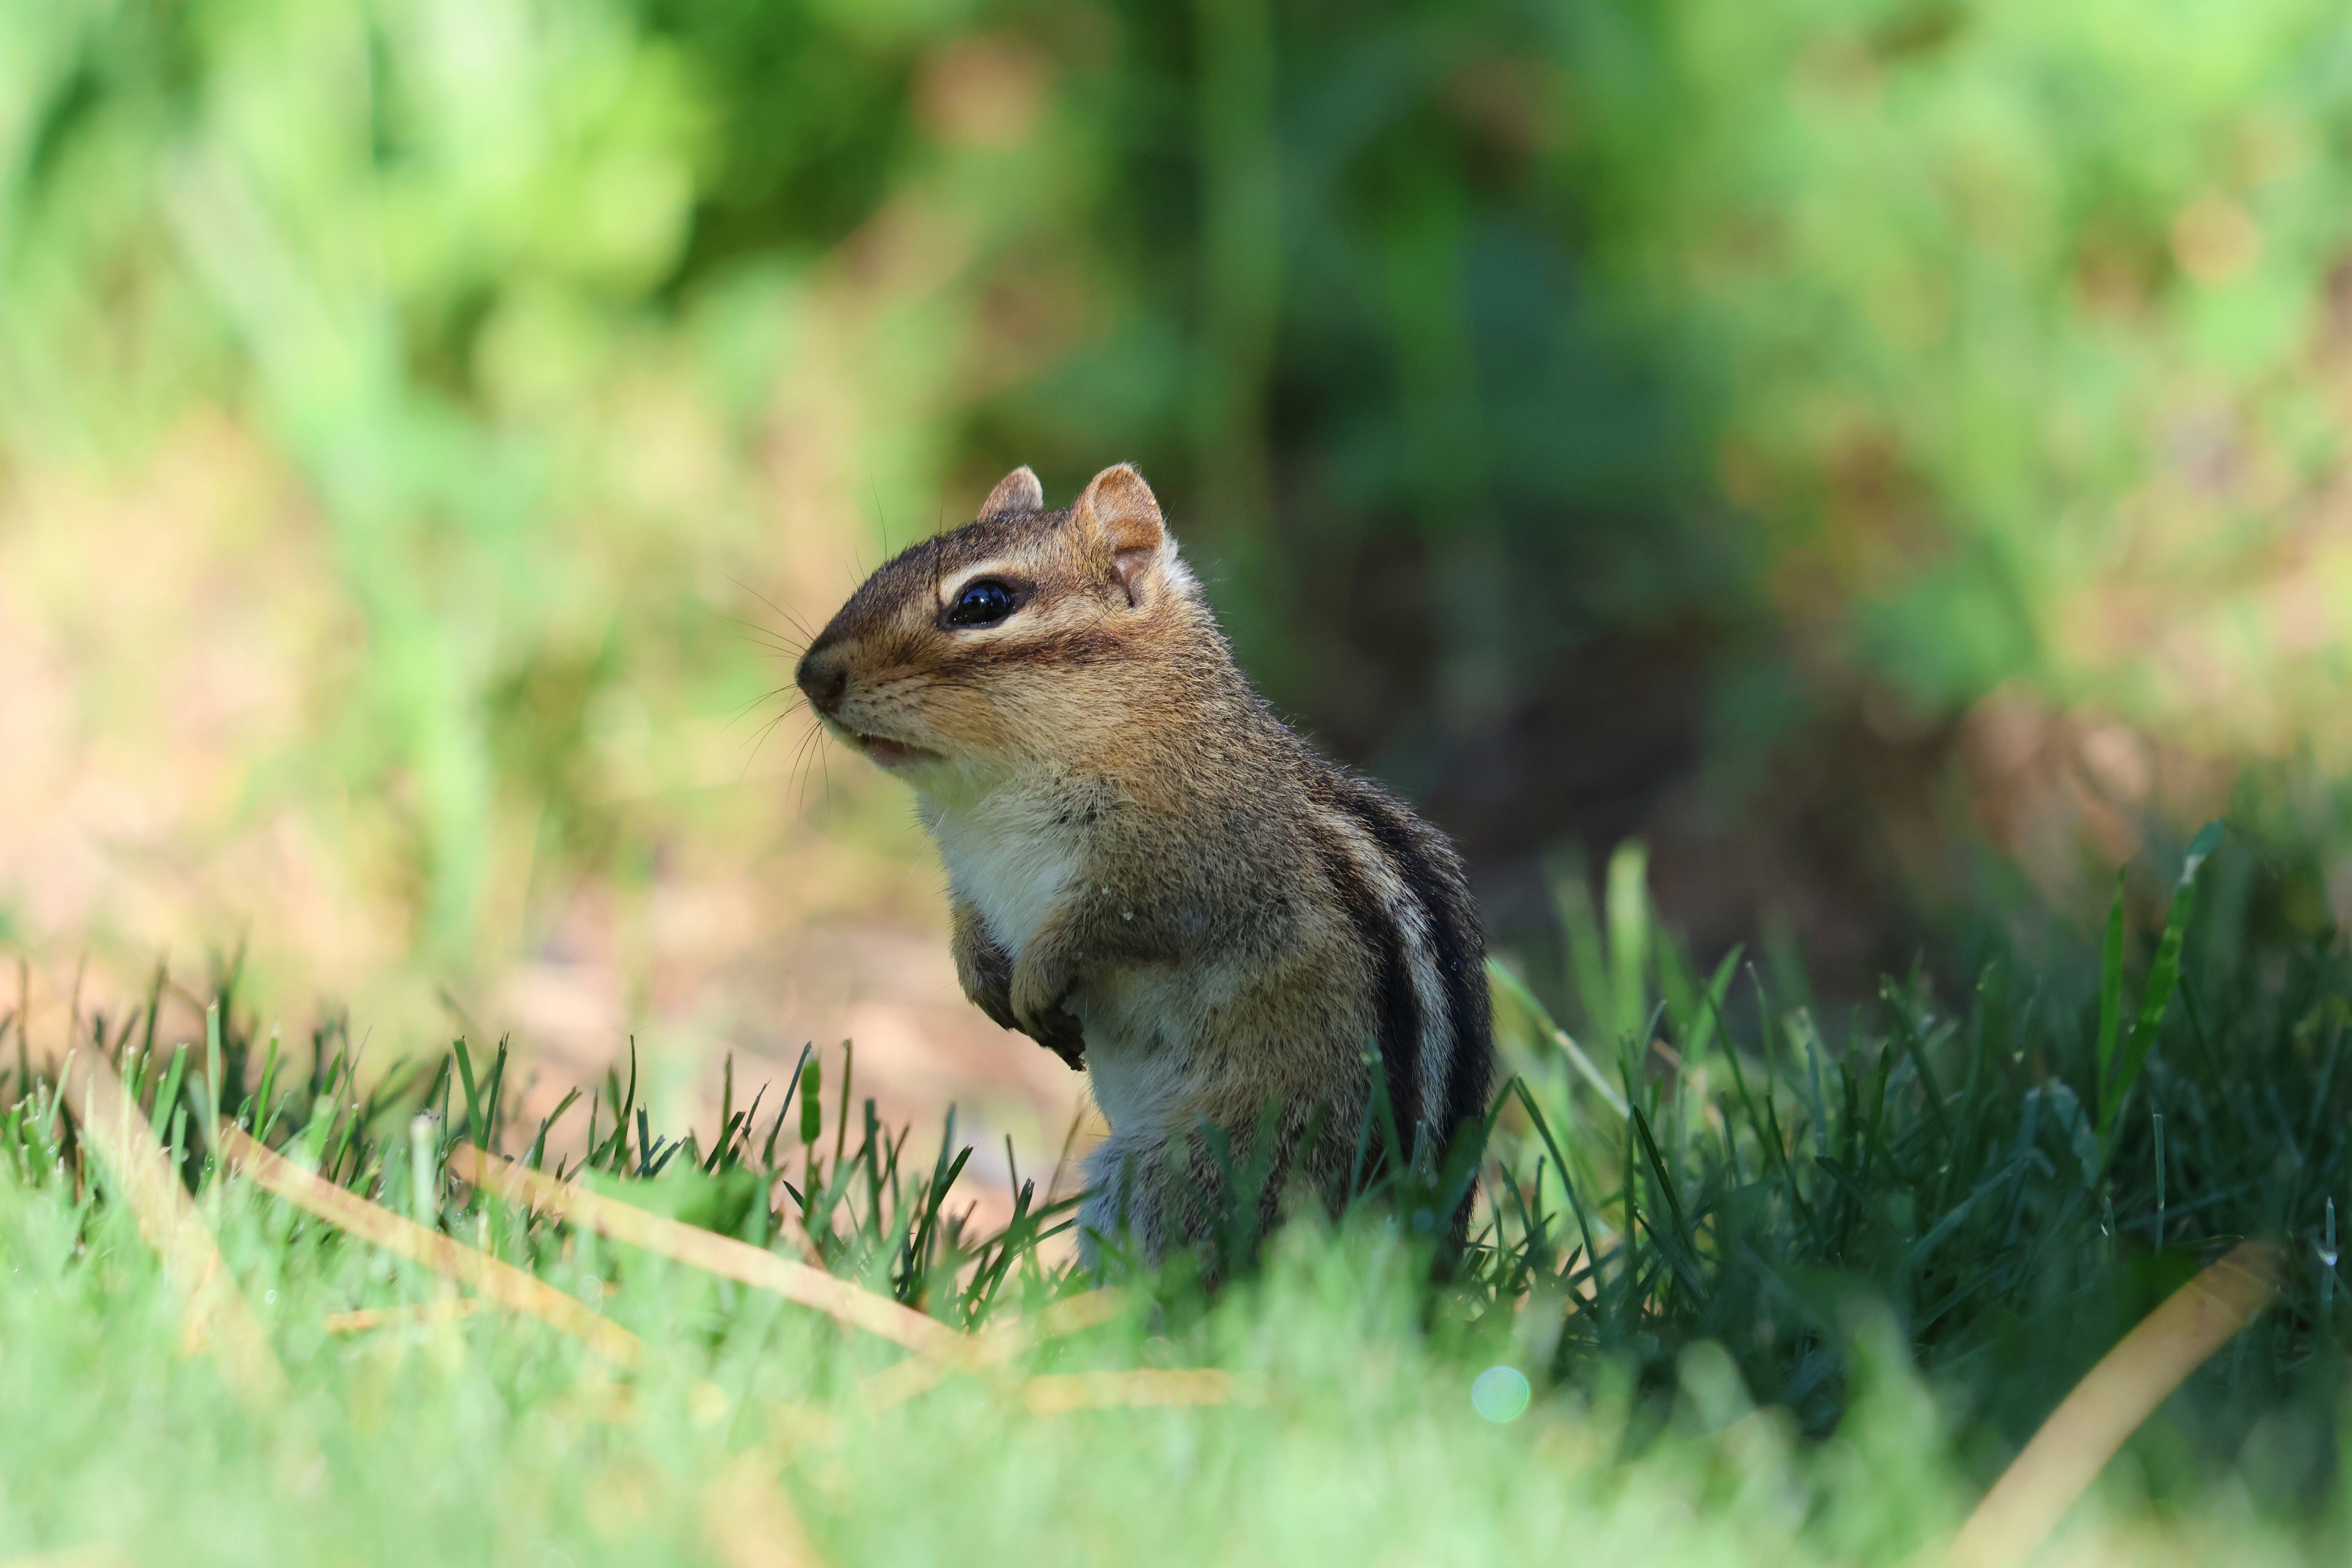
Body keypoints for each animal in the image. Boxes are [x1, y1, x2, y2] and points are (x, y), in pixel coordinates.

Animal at [795, 463, 1492, 1265]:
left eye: (983, 603)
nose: (812, 676)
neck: (995, 791)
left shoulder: (1195, 871)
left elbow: (1112, 923)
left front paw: (1036, 978)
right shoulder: (966, 870)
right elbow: (970, 917)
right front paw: (981, 976)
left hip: (1182, 1173)